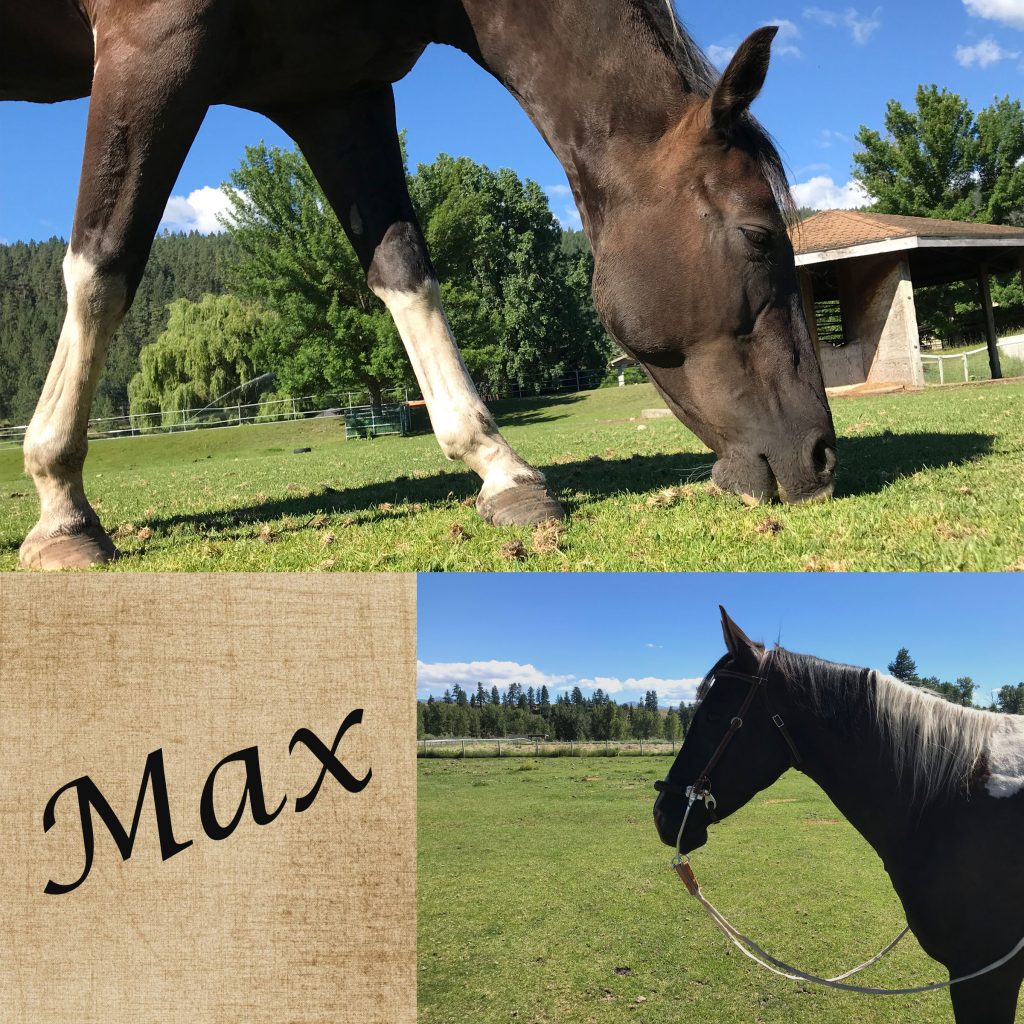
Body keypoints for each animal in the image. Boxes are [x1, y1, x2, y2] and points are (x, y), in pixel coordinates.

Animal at [2, 1, 837, 569]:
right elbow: (104, 263)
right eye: (760, 236)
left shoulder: (336, 91)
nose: (822, 457)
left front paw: (502, 470)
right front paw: (62, 507)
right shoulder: (153, 44)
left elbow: (405, 272)